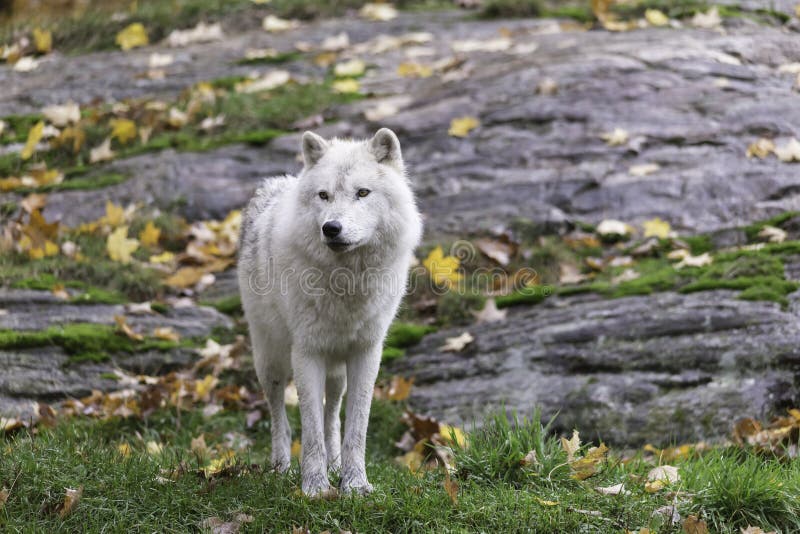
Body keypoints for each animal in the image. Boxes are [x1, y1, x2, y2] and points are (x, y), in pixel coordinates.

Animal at [237, 128, 422, 496]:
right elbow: (309, 432)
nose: (331, 228)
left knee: (332, 414)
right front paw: (315, 487)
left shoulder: (367, 352)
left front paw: (354, 484)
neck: (347, 283)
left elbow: (355, 428)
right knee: (280, 418)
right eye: (323, 195)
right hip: (271, 361)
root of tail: (275, 183)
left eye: (362, 193)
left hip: (336, 370)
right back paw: (280, 468)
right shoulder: (306, 352)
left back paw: (335, 465)